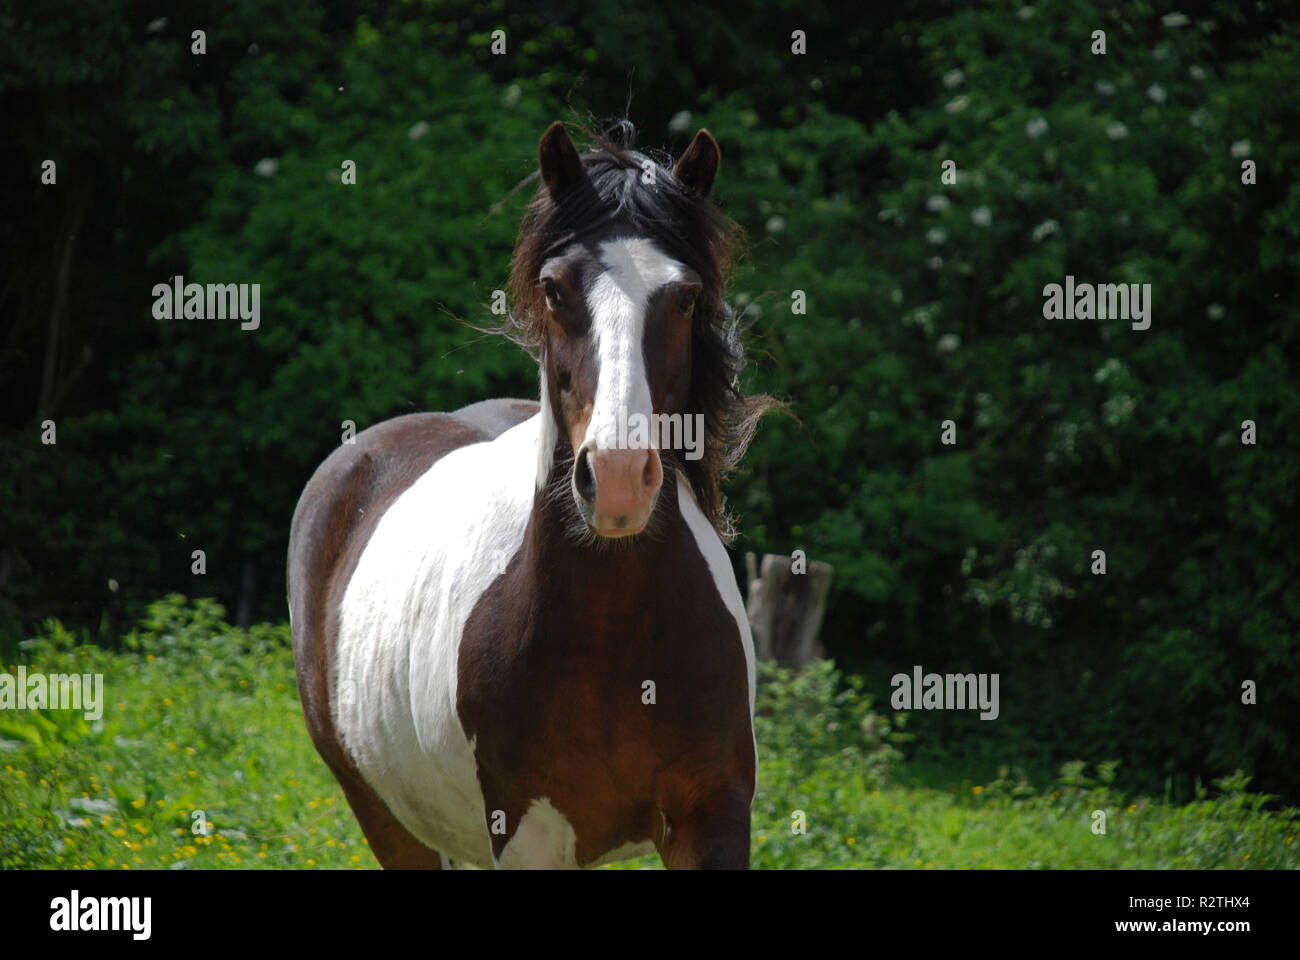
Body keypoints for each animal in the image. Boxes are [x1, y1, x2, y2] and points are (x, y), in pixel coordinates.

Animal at [288, 120, 772, 869]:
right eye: (554, 289)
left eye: (687, 296)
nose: (618, 477)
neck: (614, 632)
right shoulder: (526, 834)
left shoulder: (713, 815)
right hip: (387, 821)